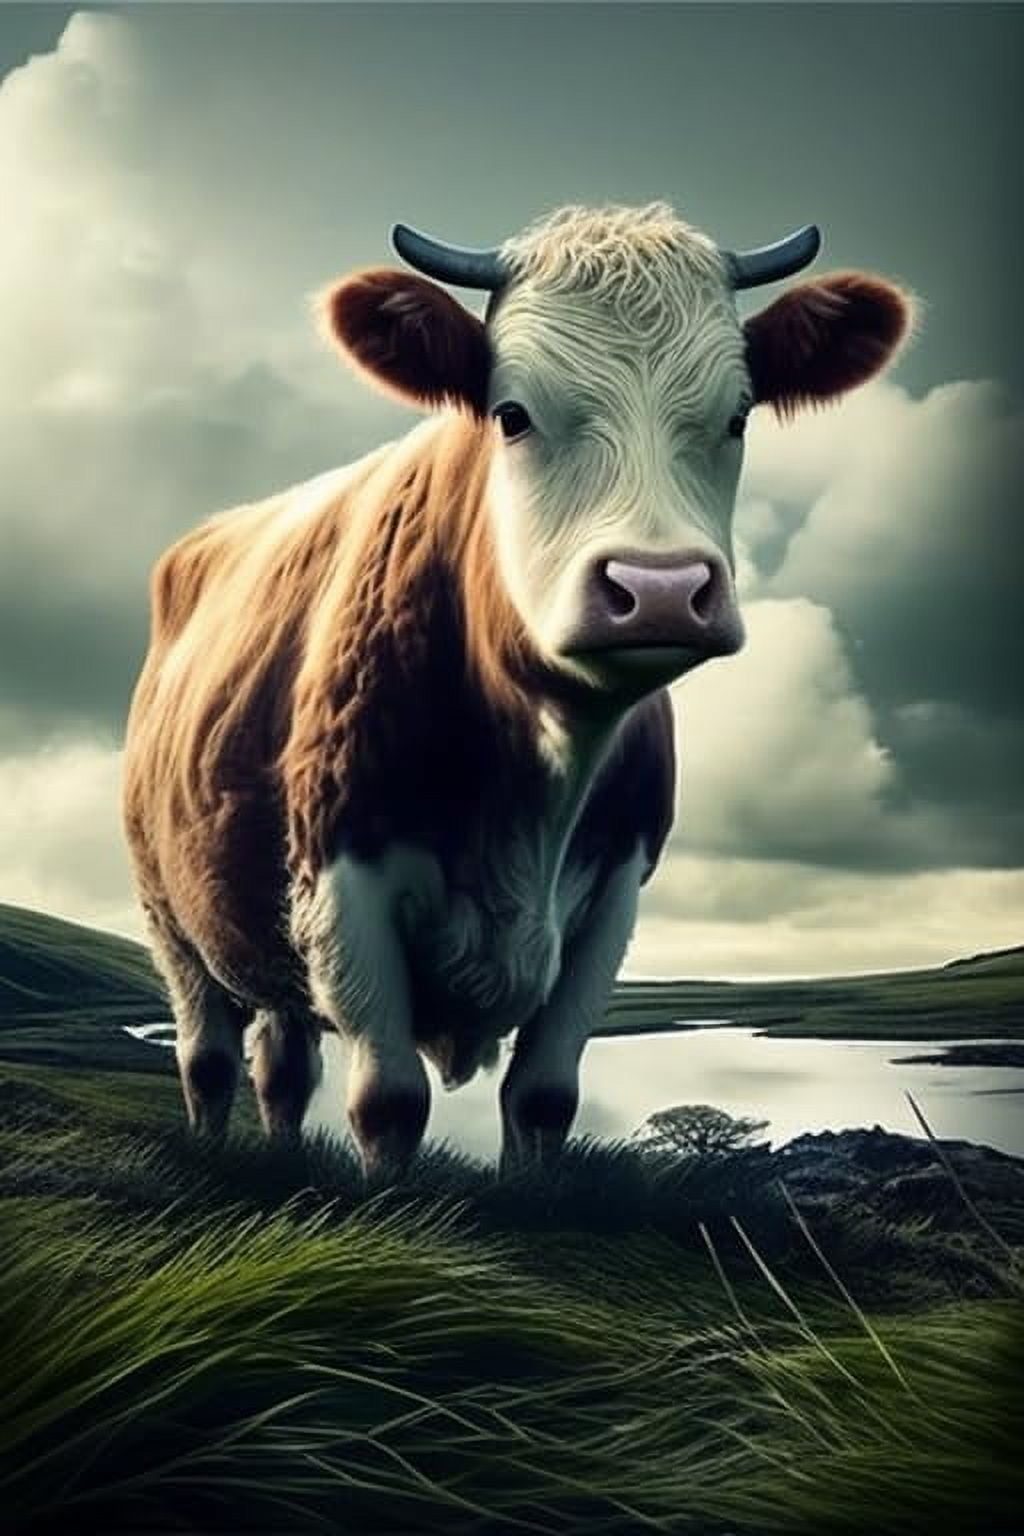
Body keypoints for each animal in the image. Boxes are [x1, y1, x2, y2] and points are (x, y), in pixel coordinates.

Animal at [122, 202, 912, 1178]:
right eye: (511, 414)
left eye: (737, 417)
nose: (658, 588)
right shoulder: (344, 877)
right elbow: (388, 1099)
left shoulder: (616, 889)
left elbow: (543, 1095)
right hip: (168, 912)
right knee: (208, 1057)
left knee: (283, 1062)